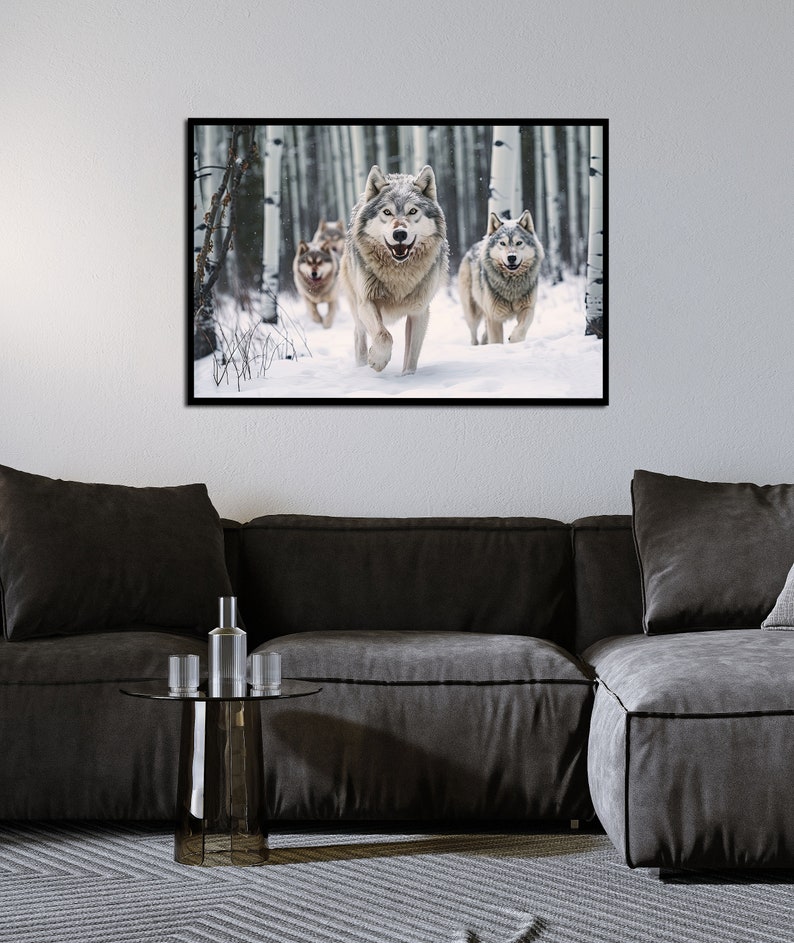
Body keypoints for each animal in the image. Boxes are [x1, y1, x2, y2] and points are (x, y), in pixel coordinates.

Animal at [340, 164, 448, 375]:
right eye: (387, 212)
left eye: (413, 211)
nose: (399, 234)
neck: (399, 273)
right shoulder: (366, 302)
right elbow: (384, 336)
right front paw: (378, 361)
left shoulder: (419, 311)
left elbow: (411, 356)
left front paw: (408, 377)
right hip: (356, 305)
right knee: (359, 333)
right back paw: (362, 364)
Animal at [458, 211, 544, 345]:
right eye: (502, 243)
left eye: (519, 242)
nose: (511, 257)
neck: (511, 285)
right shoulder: (494, 317)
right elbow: (496, 340)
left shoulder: (528, 308)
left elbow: (521, 329)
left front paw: (513, 339)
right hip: (472, 314)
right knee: (474, 336)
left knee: (484, 335)